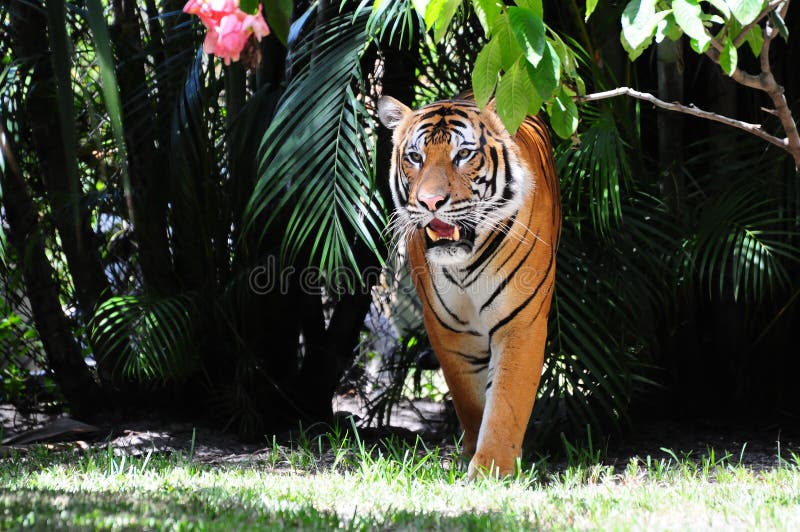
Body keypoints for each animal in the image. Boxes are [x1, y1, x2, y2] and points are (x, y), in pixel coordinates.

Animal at [377, 96, 561, 478]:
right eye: (414, 157)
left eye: (463, 154)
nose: (431, 202)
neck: (464, 264)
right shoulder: (447, 328)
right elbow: (469, 398)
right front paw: (471, 453)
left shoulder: (521, 322)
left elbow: (506, 401)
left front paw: (493, 468)